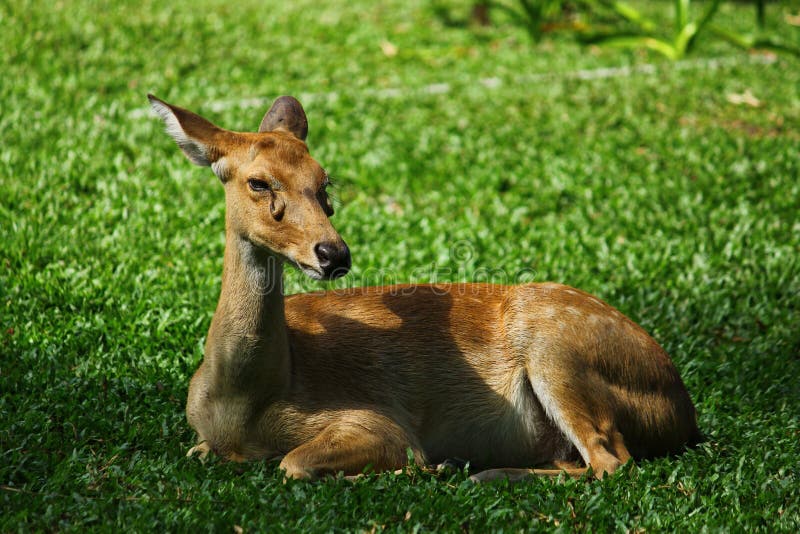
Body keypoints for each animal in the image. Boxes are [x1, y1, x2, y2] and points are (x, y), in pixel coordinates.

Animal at [148, 93, 700, 482]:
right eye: (259, 183)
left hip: (560, 350)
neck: (244, 404)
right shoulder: (202, 438)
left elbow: (294, 463)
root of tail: (685, 411)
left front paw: (424, 466)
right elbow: (204, 452)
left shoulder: (374, 419)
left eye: (324, 183)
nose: (334, 254)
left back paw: (480, 473)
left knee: (612, 461)